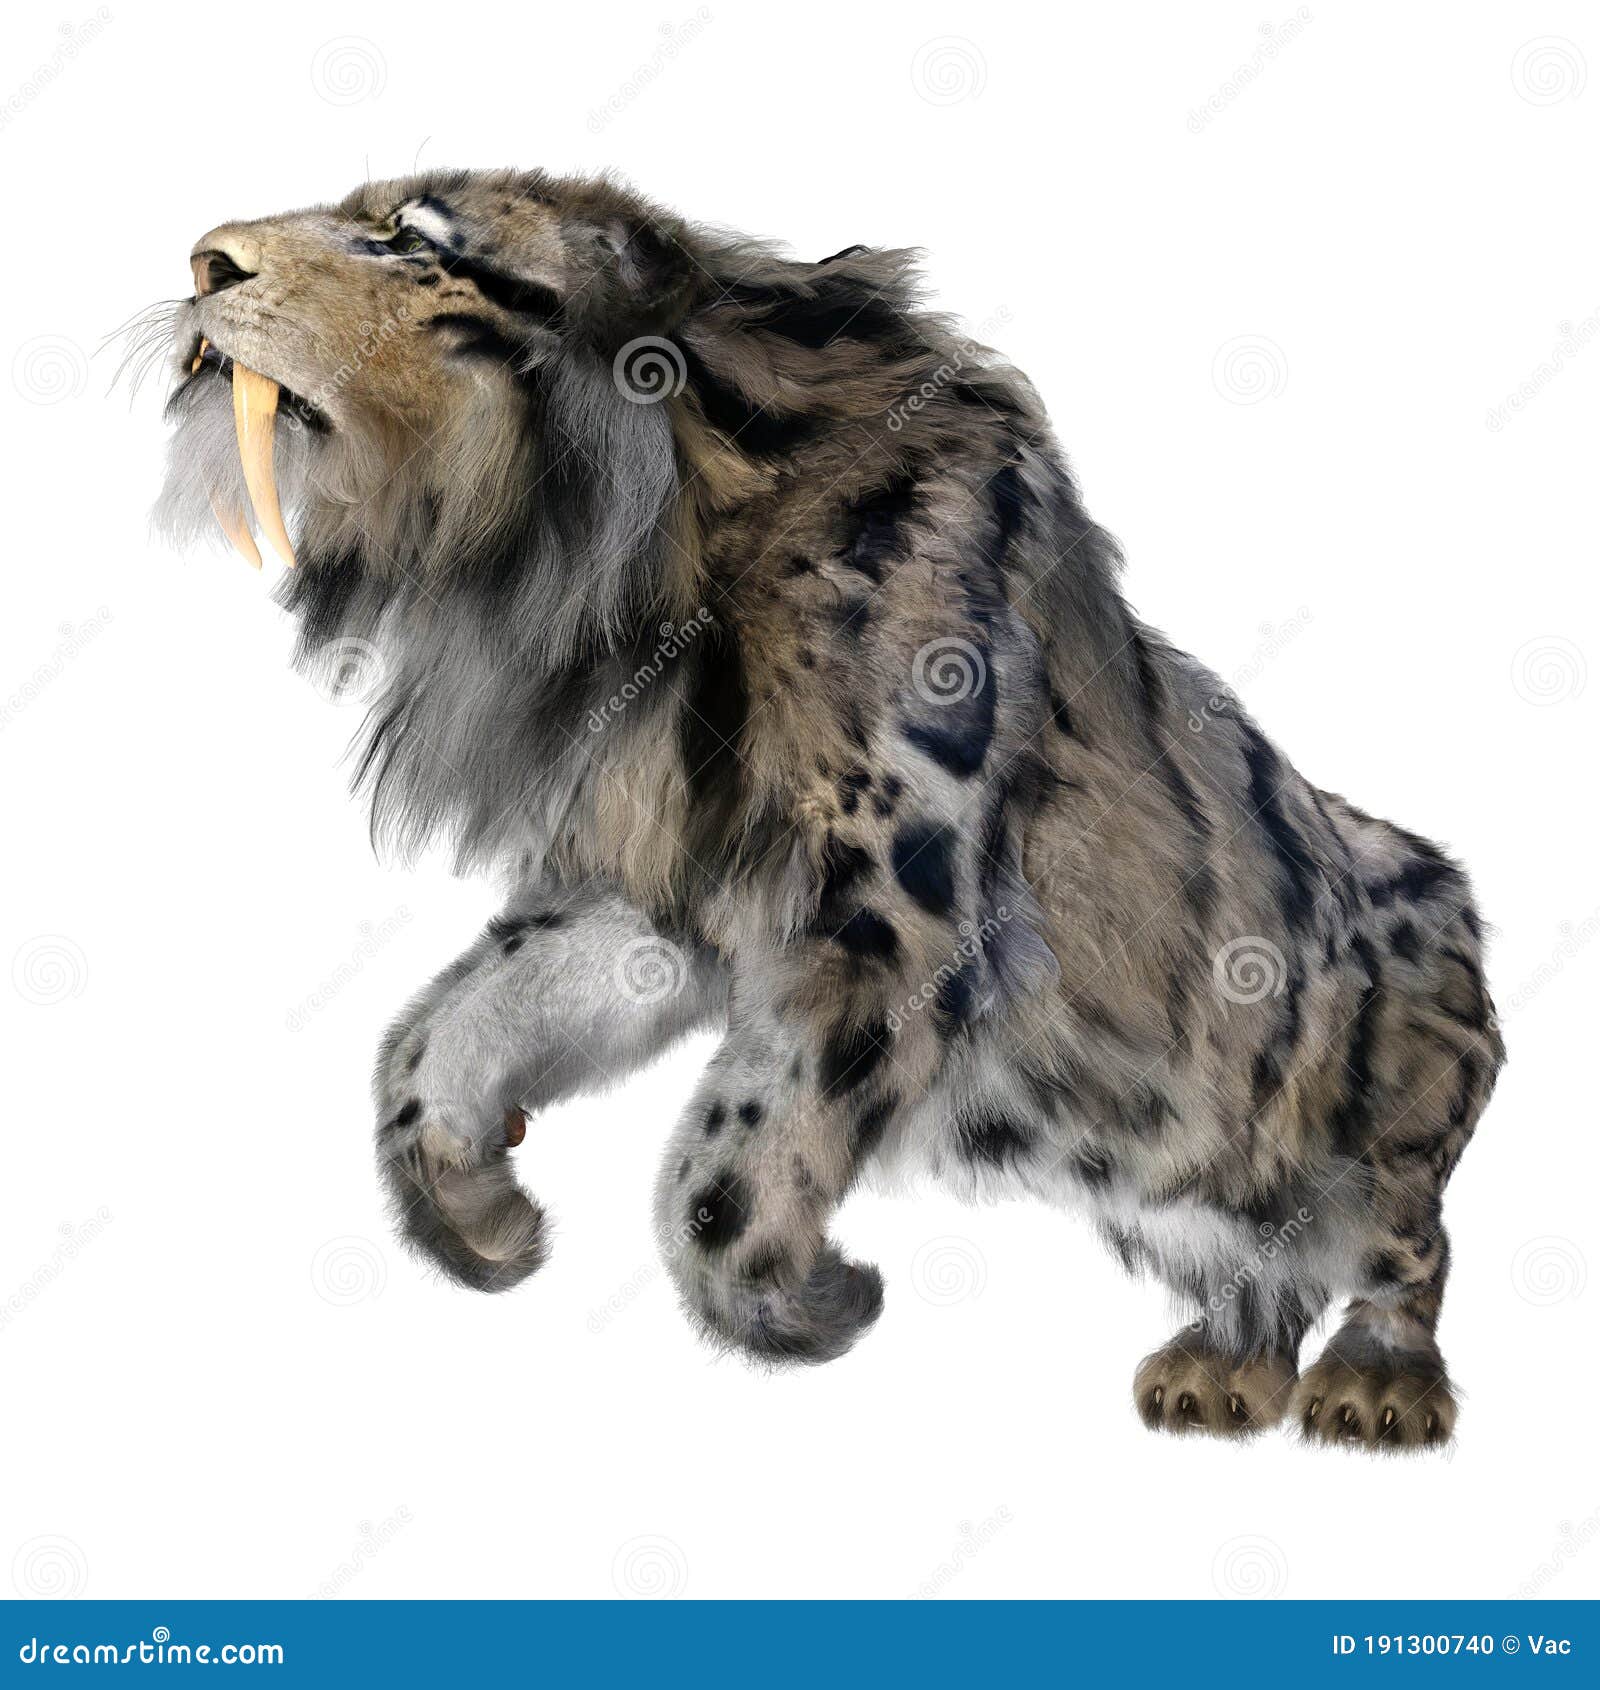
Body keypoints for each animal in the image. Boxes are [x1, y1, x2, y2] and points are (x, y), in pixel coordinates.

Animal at [148, 167, 1503, 1447]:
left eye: (411, 241)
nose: (202, 262)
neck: (626, 559)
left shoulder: (889, 902)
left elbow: (723, 1168)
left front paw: (809, 1301)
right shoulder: (653, 896)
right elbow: (441, 1031)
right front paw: (471, 1206)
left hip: (1387, 1117)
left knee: (1407, 1247)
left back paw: (1374, 1385)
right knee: (1263, 1270)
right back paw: (1220, 1370)